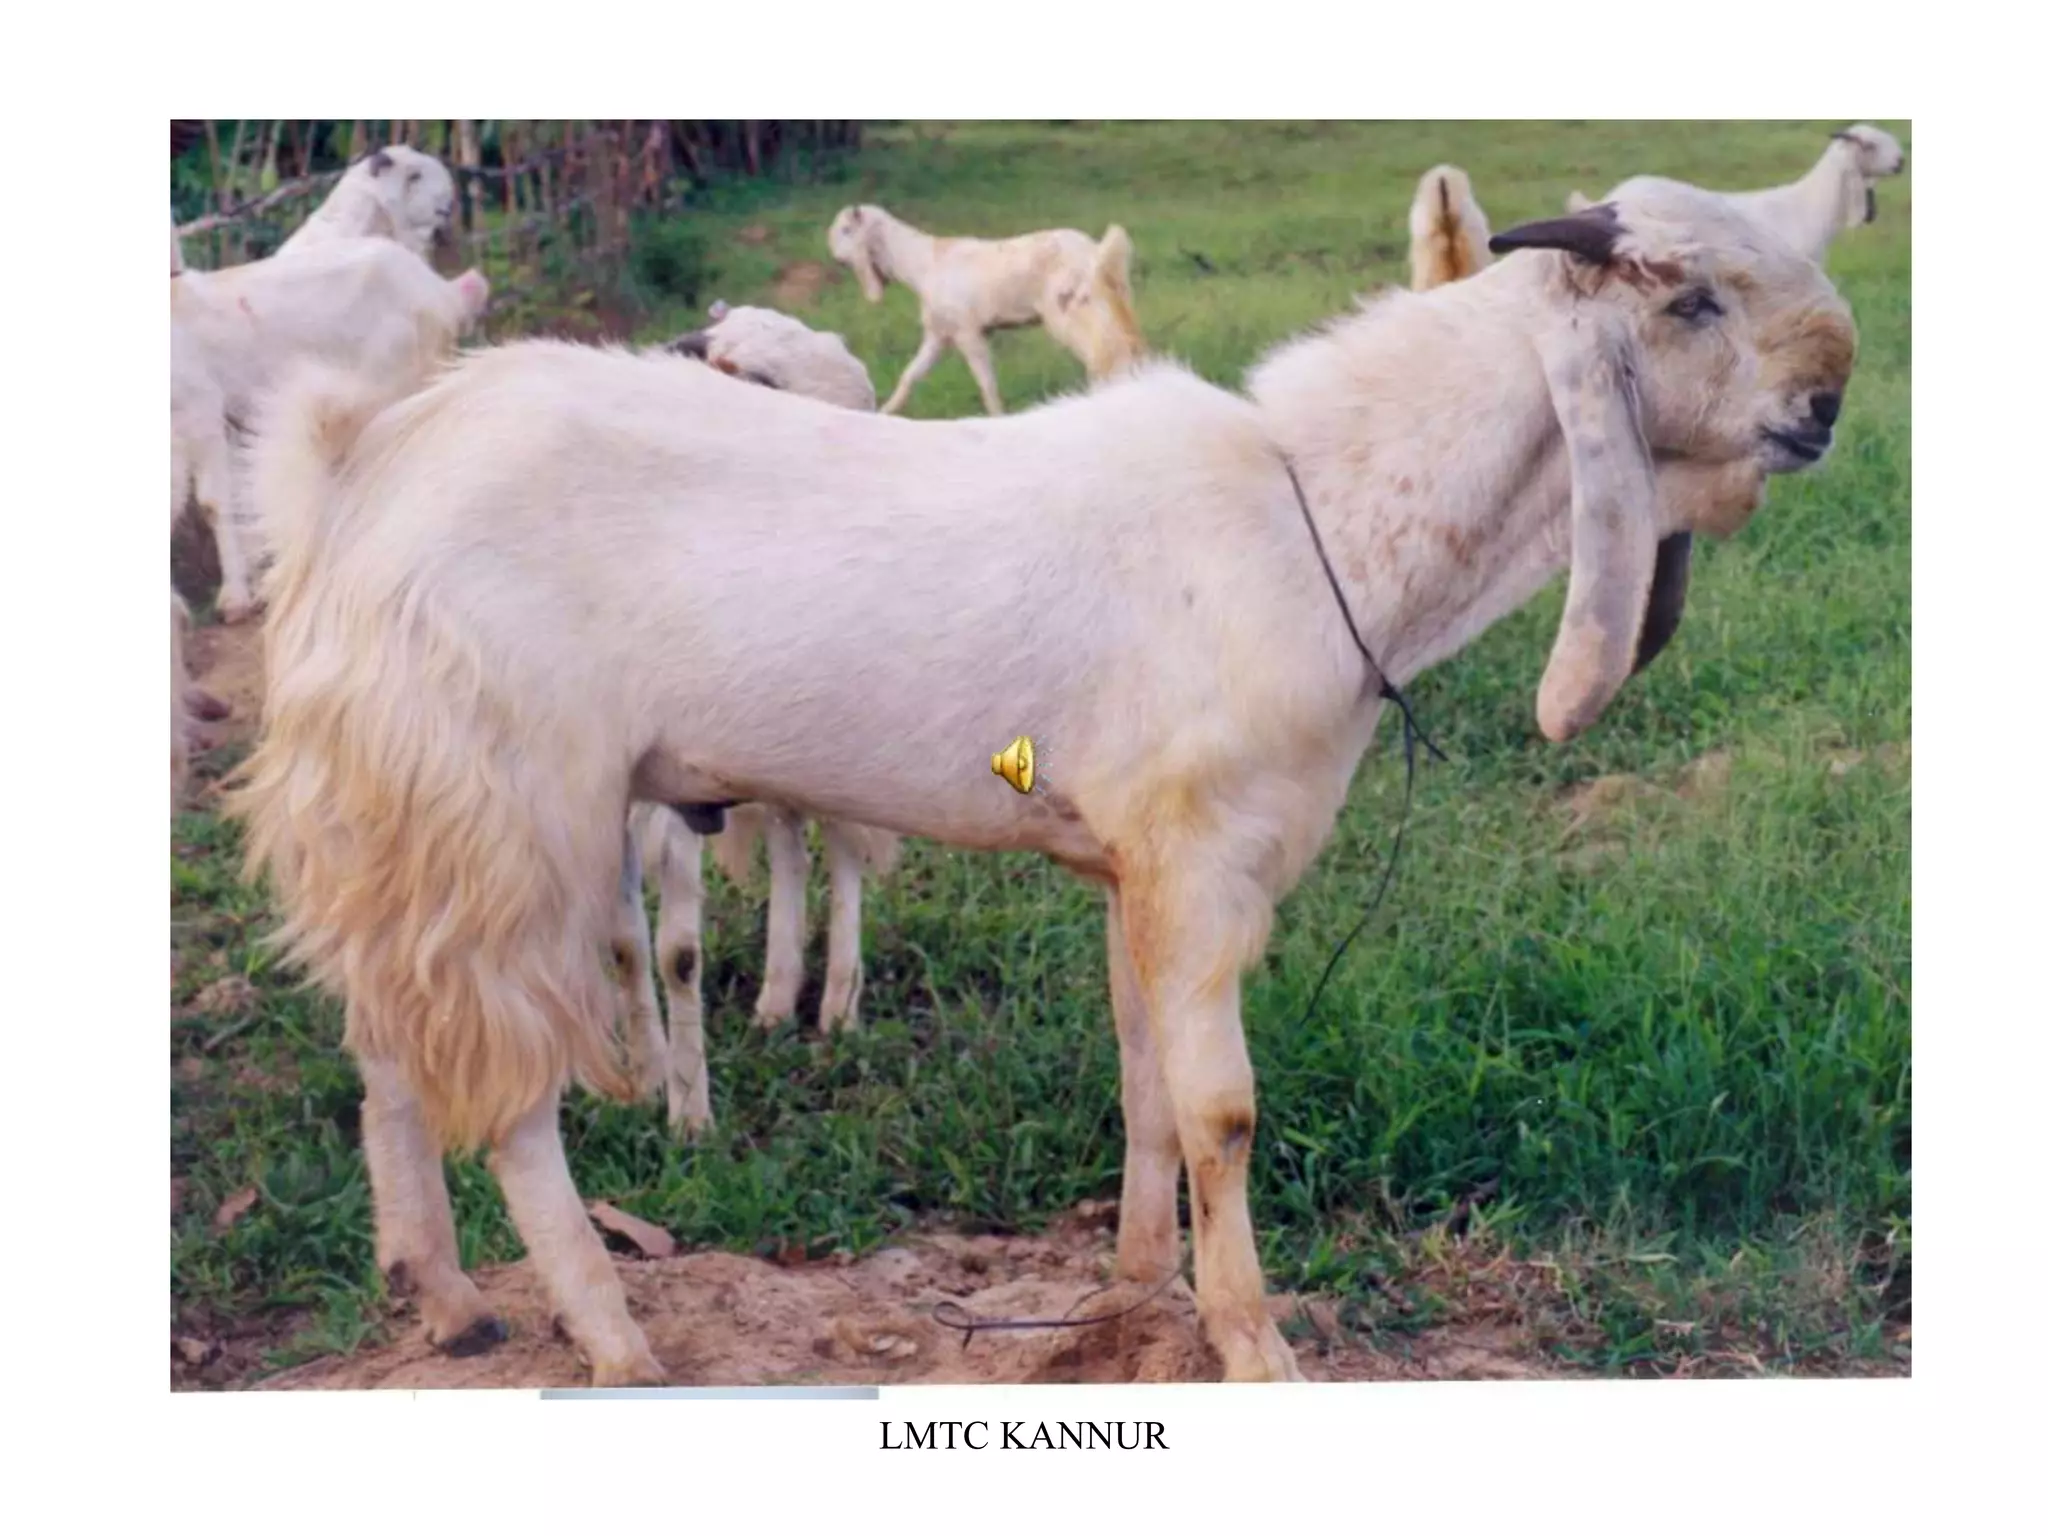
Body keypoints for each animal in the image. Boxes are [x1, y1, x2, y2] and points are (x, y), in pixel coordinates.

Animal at [826, 204, 1143, 416]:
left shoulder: (968, 332)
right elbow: (910, 375)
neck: (923, 264)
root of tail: (1095, 252)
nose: (835, 258)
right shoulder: (939, 334)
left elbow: (986, 384)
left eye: (846, 230)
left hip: (1070, 310)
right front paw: (885, 413)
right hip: (1116, 298)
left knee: (1106, 348)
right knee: (1123, 341)